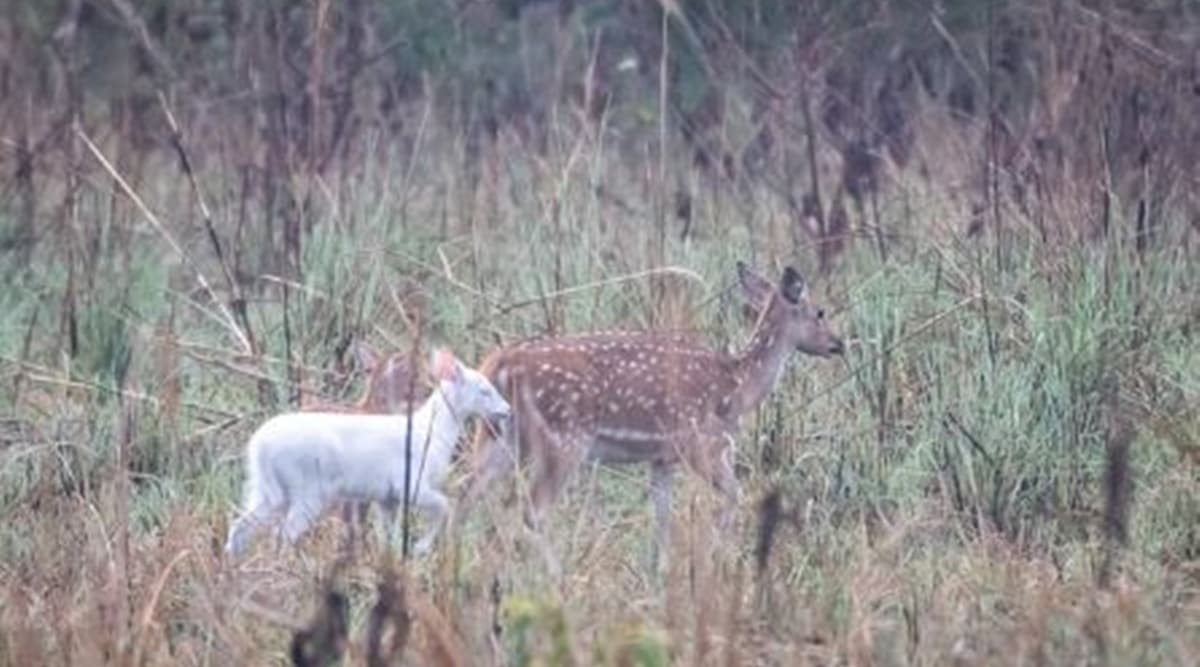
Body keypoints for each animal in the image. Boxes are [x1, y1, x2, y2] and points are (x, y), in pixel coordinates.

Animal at [459, 262, 844, 558]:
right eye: (820, 311)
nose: (838, 344)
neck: (737, 386)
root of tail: (500, 364)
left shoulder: (662, 457)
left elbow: (662, 518)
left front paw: (660, 572)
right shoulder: (702, 443)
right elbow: (734, 496)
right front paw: (711, 555)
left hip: (498, 437)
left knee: (464, 494)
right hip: (563, 438)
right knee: (532, 512)